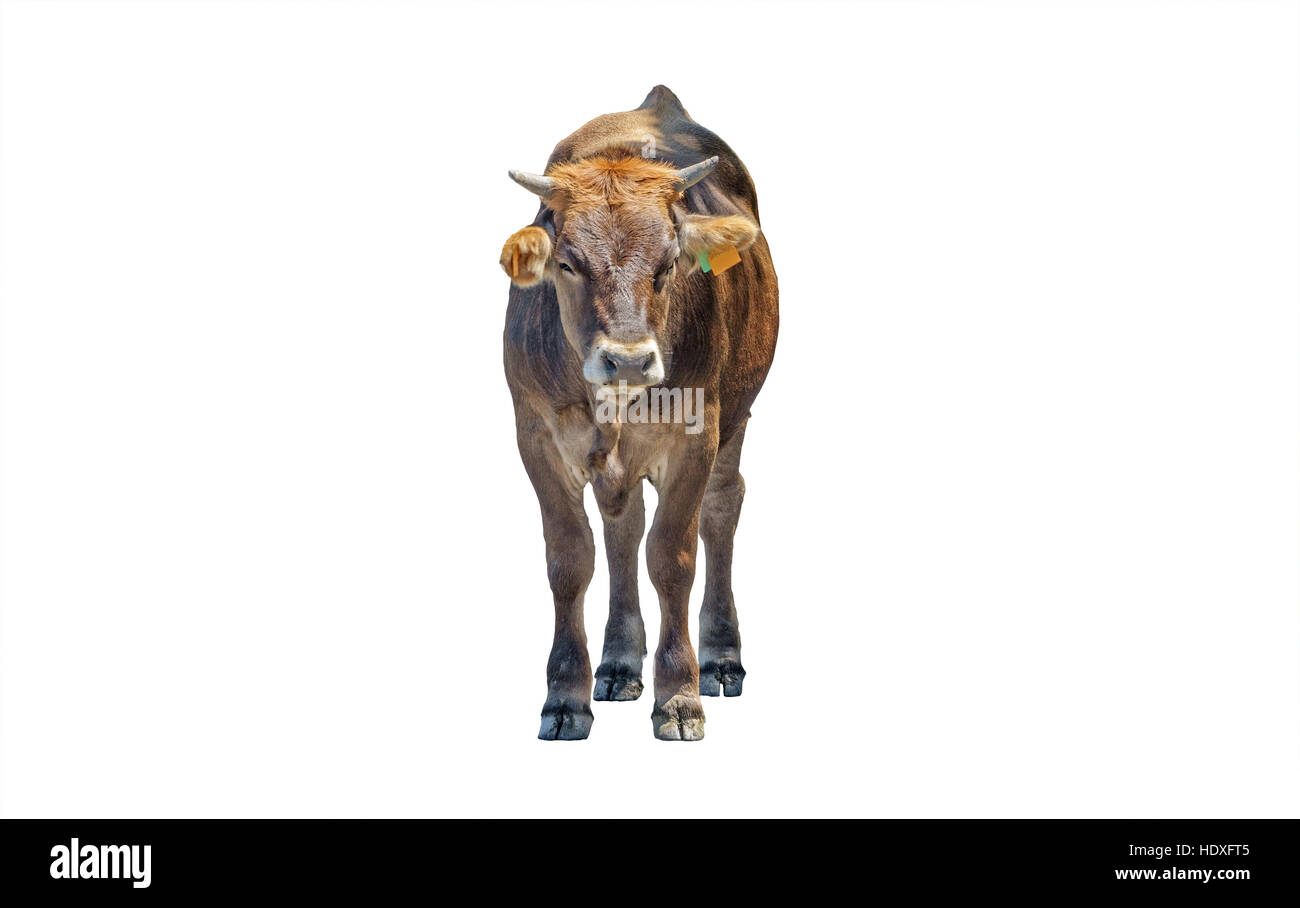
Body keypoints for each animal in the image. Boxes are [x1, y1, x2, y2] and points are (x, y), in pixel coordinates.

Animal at [500, 86, 778, 741]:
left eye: (669, 262)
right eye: (567, 262)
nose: (627, 358)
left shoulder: (695, 436)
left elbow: (673, 557)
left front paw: (679, 697)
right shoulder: (536, 435)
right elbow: (570, 559)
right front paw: (565, 698)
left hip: (738, 415)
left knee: (722, 508)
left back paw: (721, 659)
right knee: (622, 529)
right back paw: (619, 664)